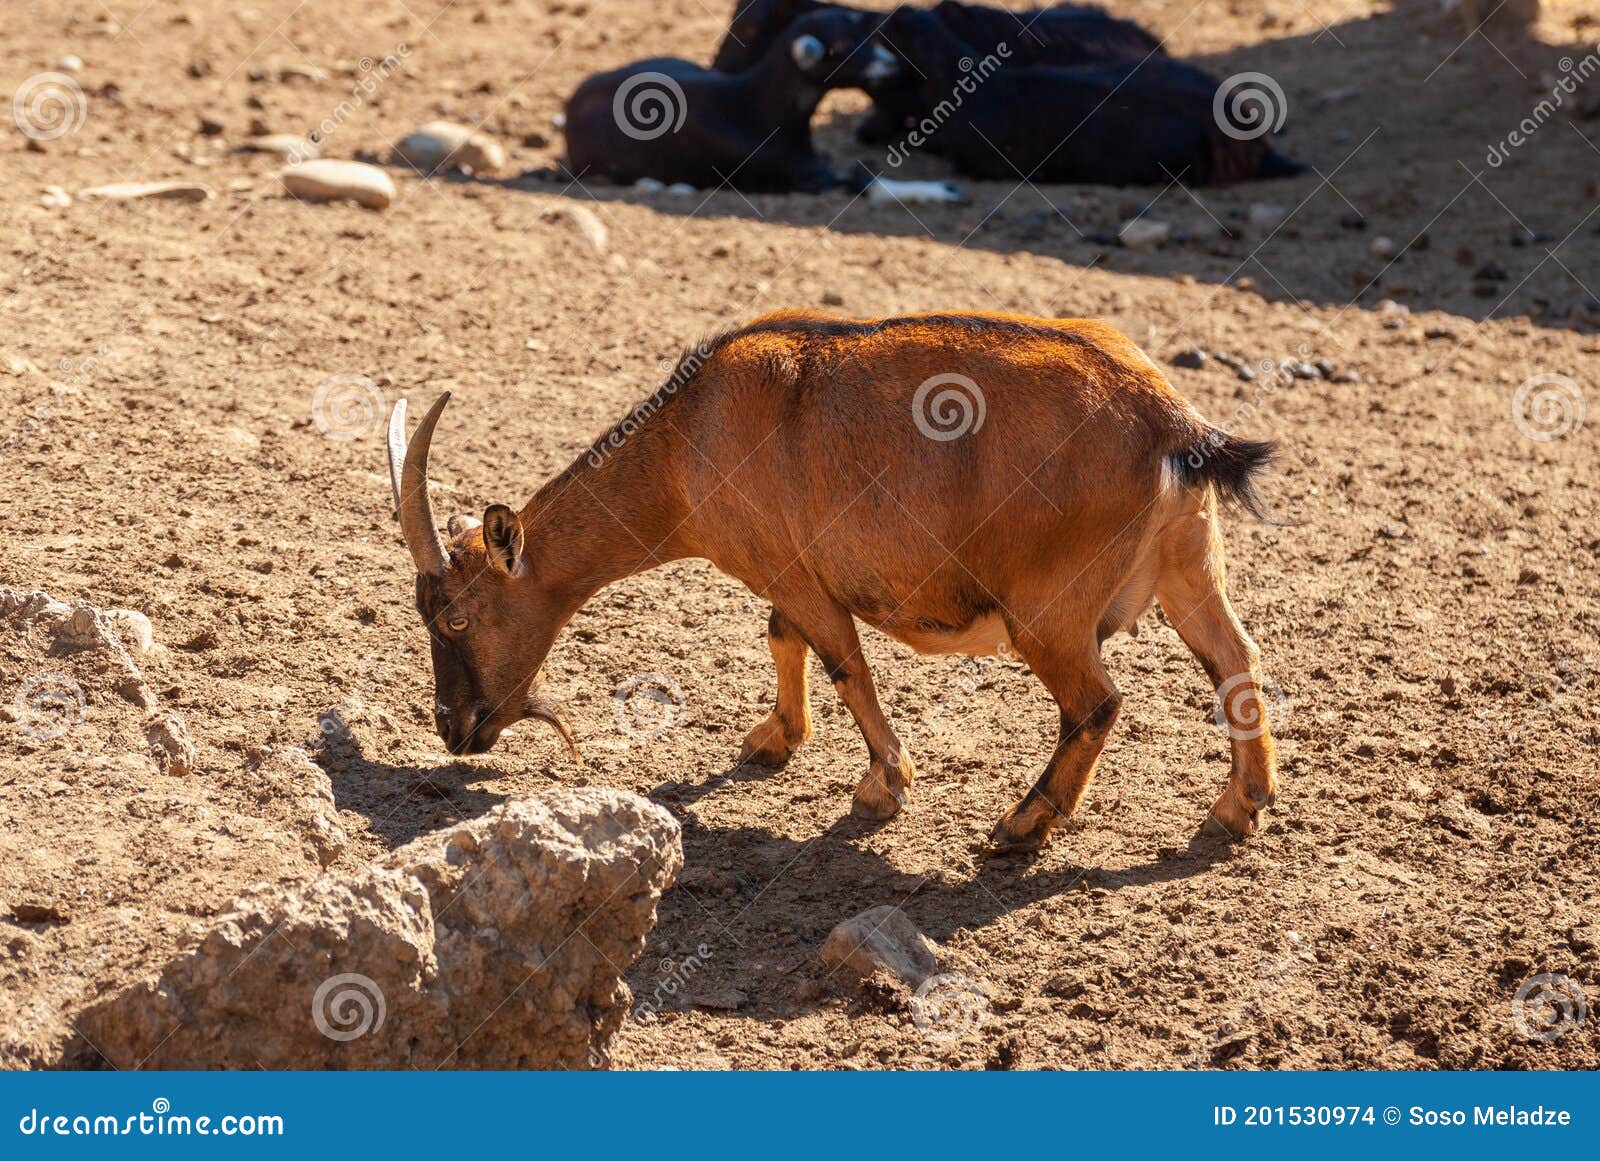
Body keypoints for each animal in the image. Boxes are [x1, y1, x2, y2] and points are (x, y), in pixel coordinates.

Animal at [387, 311, 1282, 851]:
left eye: (457, 617)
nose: (454, 727)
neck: (688, 436)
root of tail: (1171, 423)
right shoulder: (789, 576)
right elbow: (782, 638)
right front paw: (774, 739)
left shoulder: (794, 572)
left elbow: (846, 663)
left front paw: (883, 786)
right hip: (1190, 565)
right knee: (1237, 662)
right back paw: (1238, 807)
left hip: (1048, 611)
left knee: (1096, 702)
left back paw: (1022, 822)